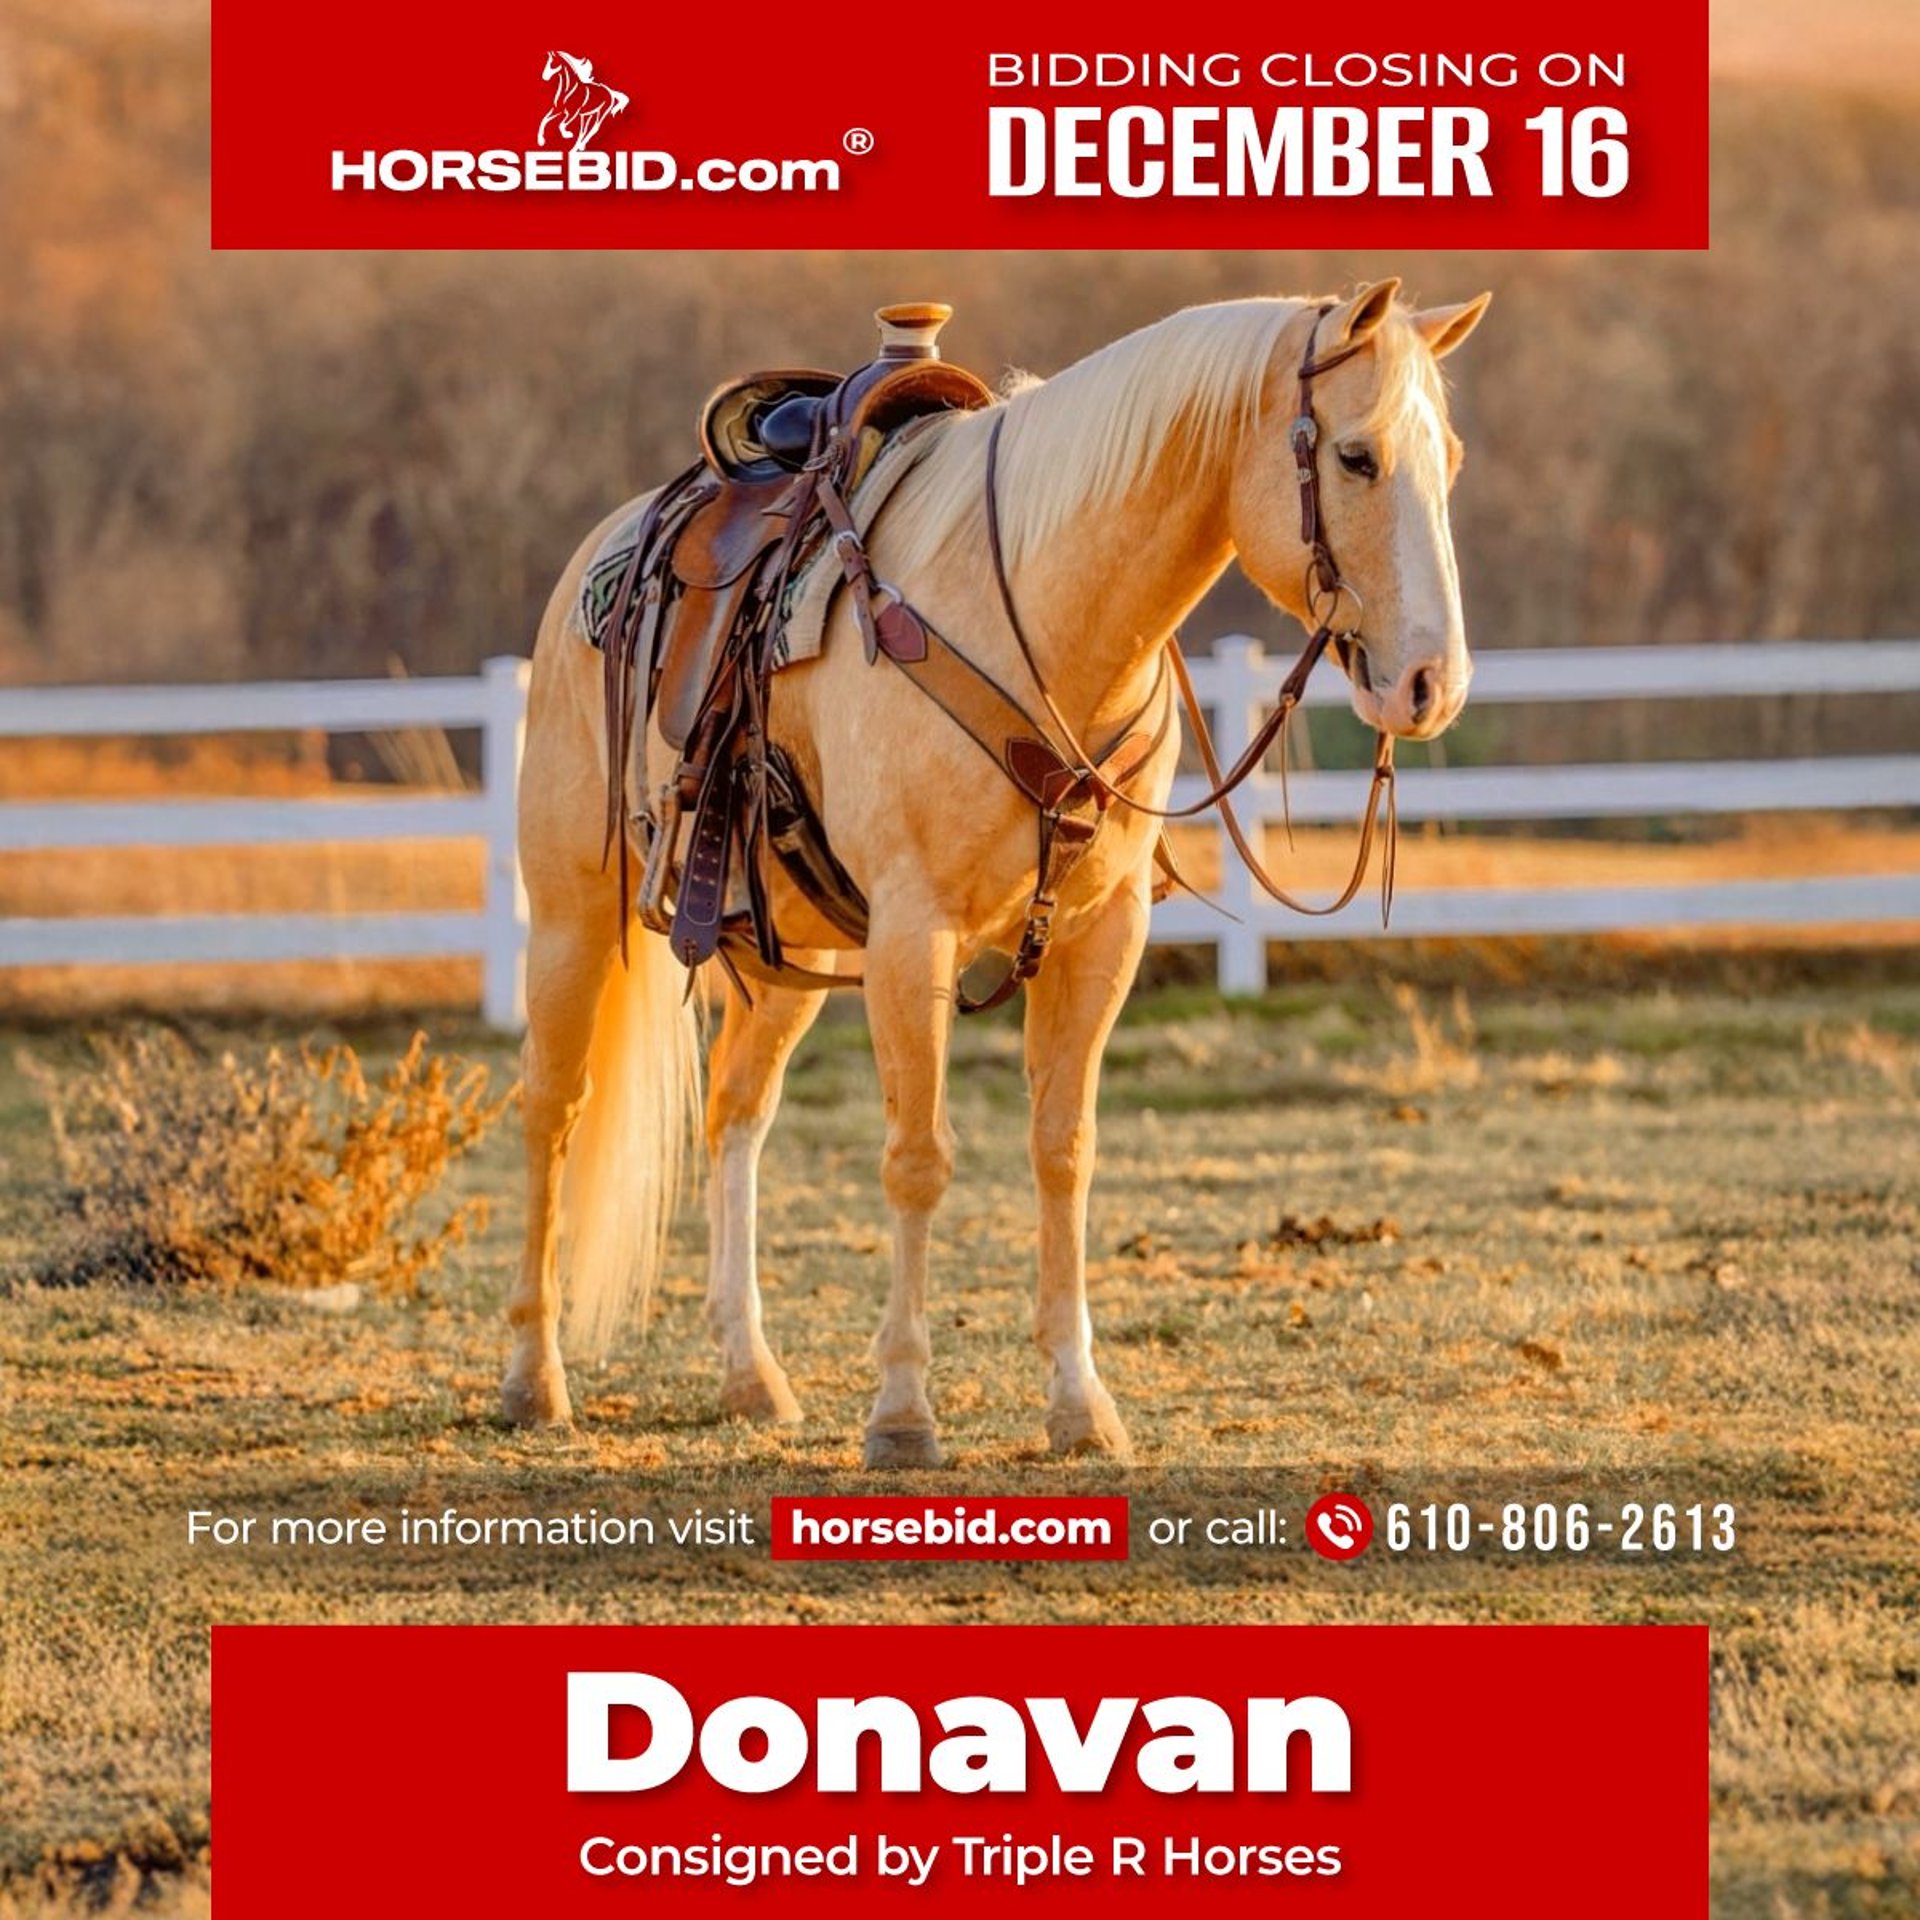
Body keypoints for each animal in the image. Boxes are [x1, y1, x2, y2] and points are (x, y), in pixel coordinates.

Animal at [501, 279, 1491, 1465]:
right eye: (1355, 457)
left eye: (1450, 461)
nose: (1434, 683)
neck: (1043, 625)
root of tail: (597, 557)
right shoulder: (912, 932)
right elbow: (917, 1157)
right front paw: (901, 1412)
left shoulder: (1101, 934)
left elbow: (1065, 1150)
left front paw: (1079, 1403)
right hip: (573, 919)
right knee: (552, 1110)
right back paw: (534, 1377)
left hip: (788, 951)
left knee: (734, 1112)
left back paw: (750, 1373)